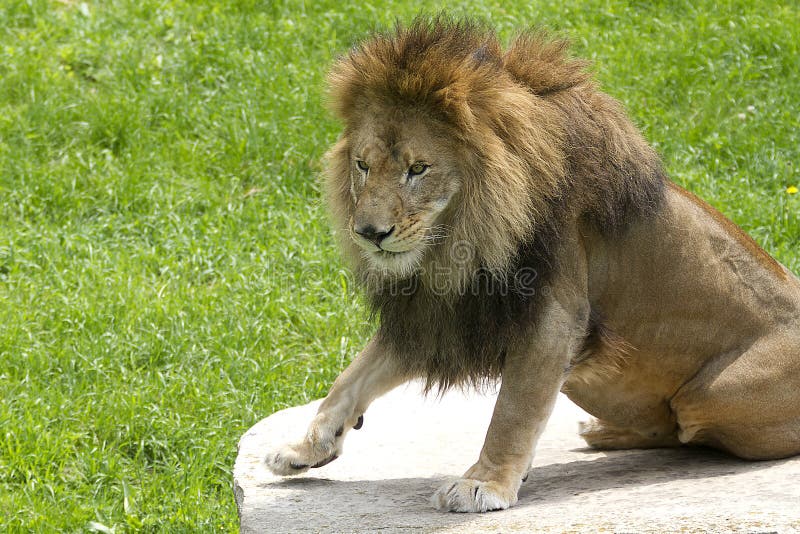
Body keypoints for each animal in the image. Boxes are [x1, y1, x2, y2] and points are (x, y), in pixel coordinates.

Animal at [264, 17, 800, 512]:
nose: (369, 233)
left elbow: (513, 411)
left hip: (706, 395)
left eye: (418, 169)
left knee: (685, 429)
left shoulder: (552, 317)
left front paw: (482, 484)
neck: (457, 242)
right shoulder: (445, 314)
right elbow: (351, 377)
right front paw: (304, 448)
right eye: (362, 165)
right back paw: (601, 431)